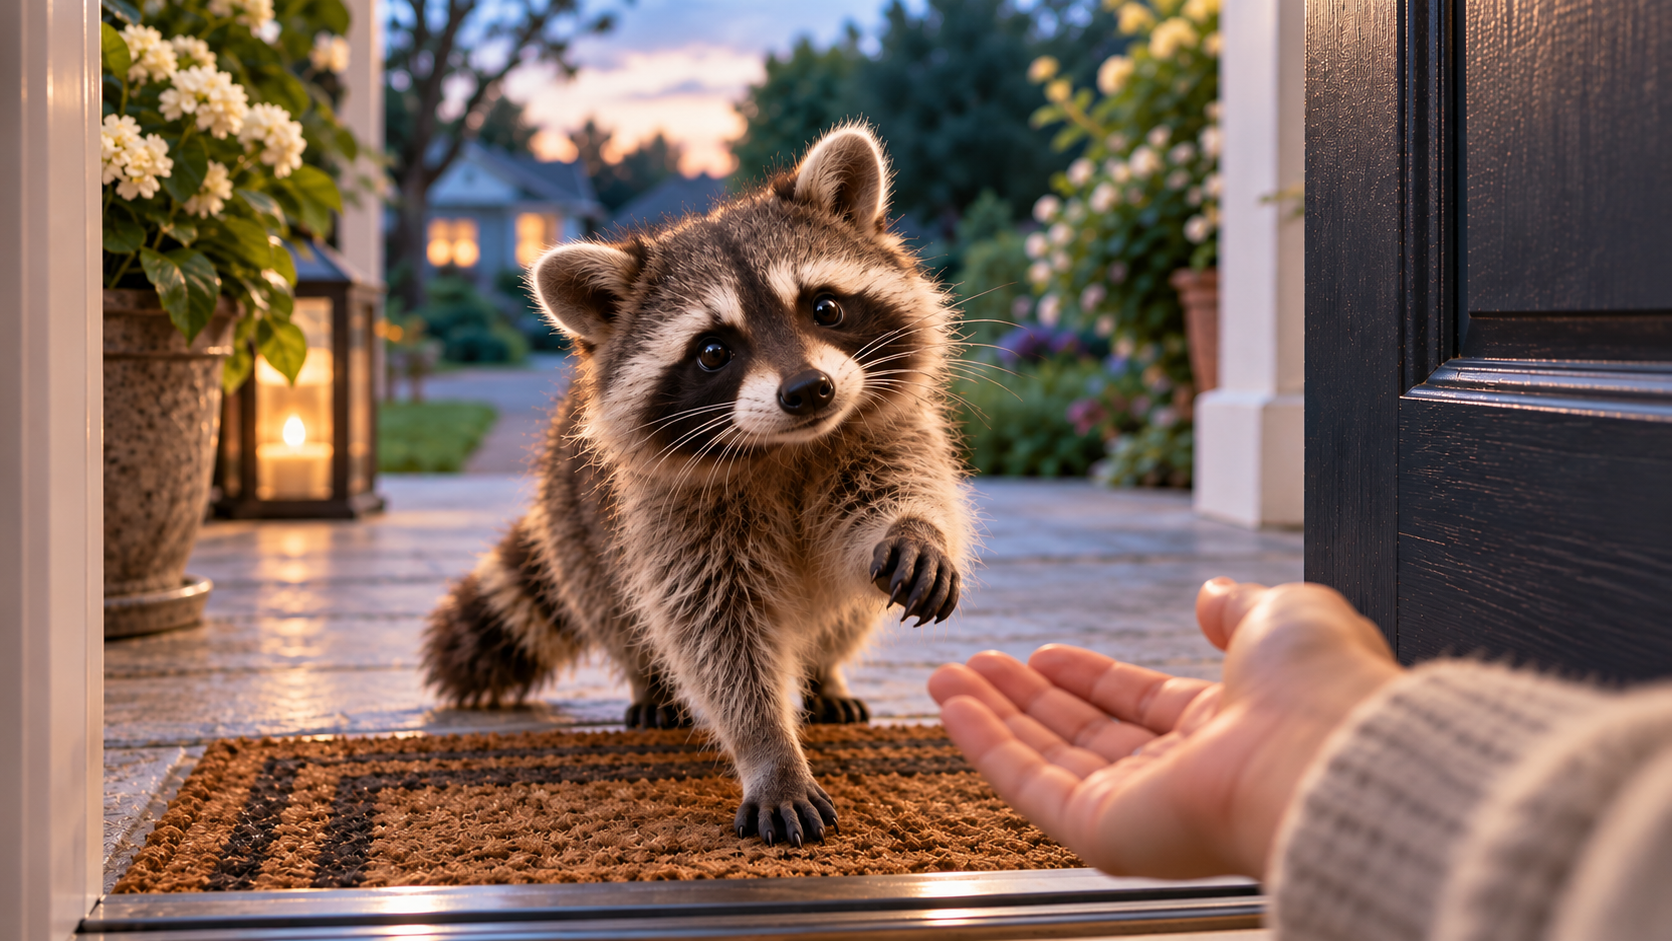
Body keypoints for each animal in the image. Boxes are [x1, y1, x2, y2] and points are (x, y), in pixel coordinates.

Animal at [420, 126, 972, 846]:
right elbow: (714, 631)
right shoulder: (671, 511)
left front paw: (915, 529)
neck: (786, 448)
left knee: (845, 612)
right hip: (578, 535)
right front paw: (769, 751)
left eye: (825, 307)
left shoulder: (883, 428)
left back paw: (826, 669)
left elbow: (904, 486)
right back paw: (651, 685)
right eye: (713, 351)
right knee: (620, 610)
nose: (809, 390)